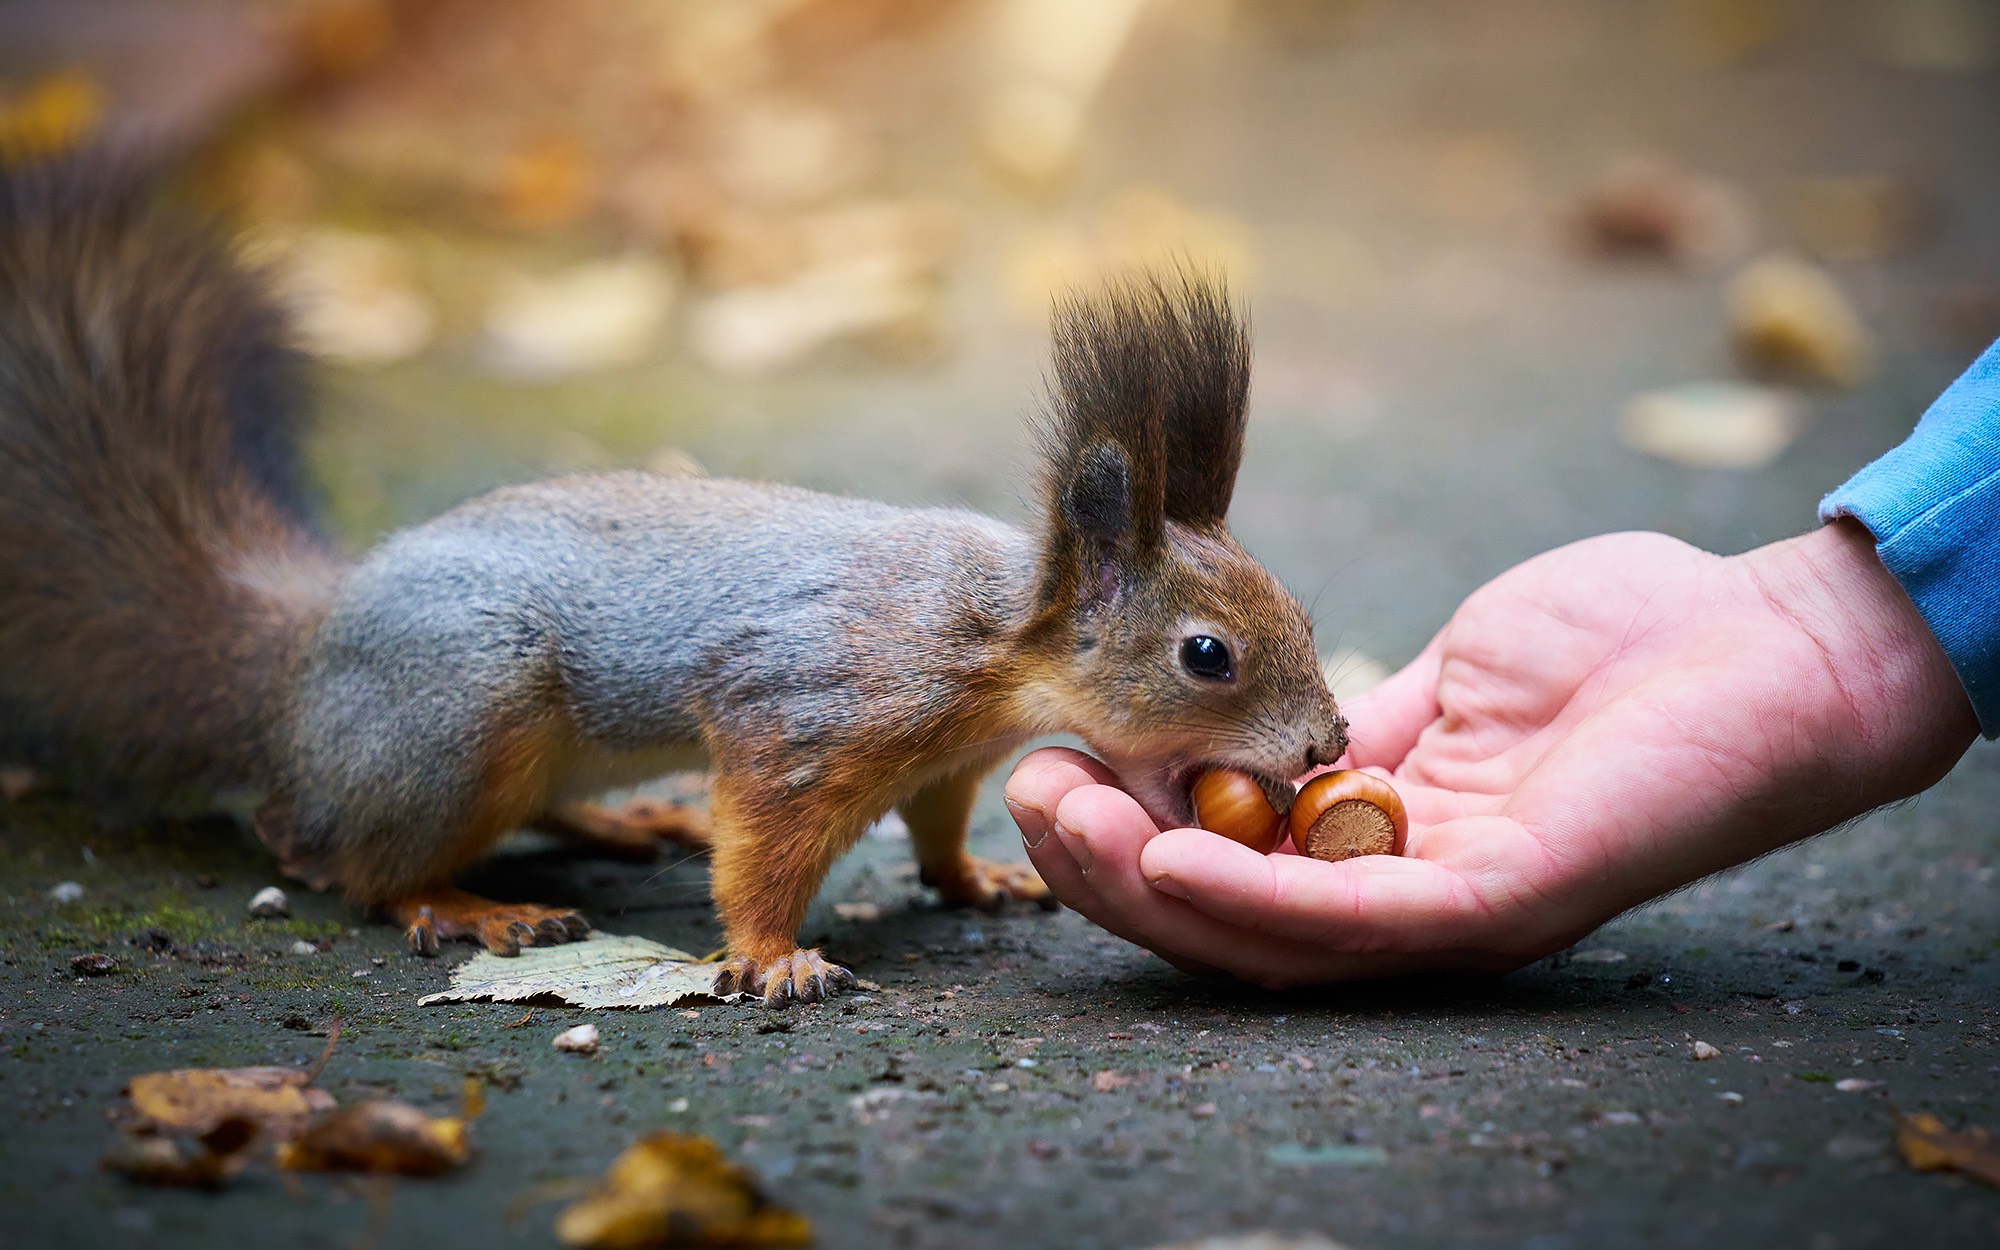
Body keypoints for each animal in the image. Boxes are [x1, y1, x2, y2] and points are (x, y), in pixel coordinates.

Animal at [3, 163, 1344, 1004]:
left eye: (1297, 606)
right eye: (1206, 654)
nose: (1329, 742)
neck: (996, 643)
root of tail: (294, 670)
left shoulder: (943, 759)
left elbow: (934, 827)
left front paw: (978, 881)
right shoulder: (805, 708)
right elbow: (762, 844)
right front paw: (774, 957)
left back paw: (621, 820)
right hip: (460, 708)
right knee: (345, 861)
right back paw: (469, 905)